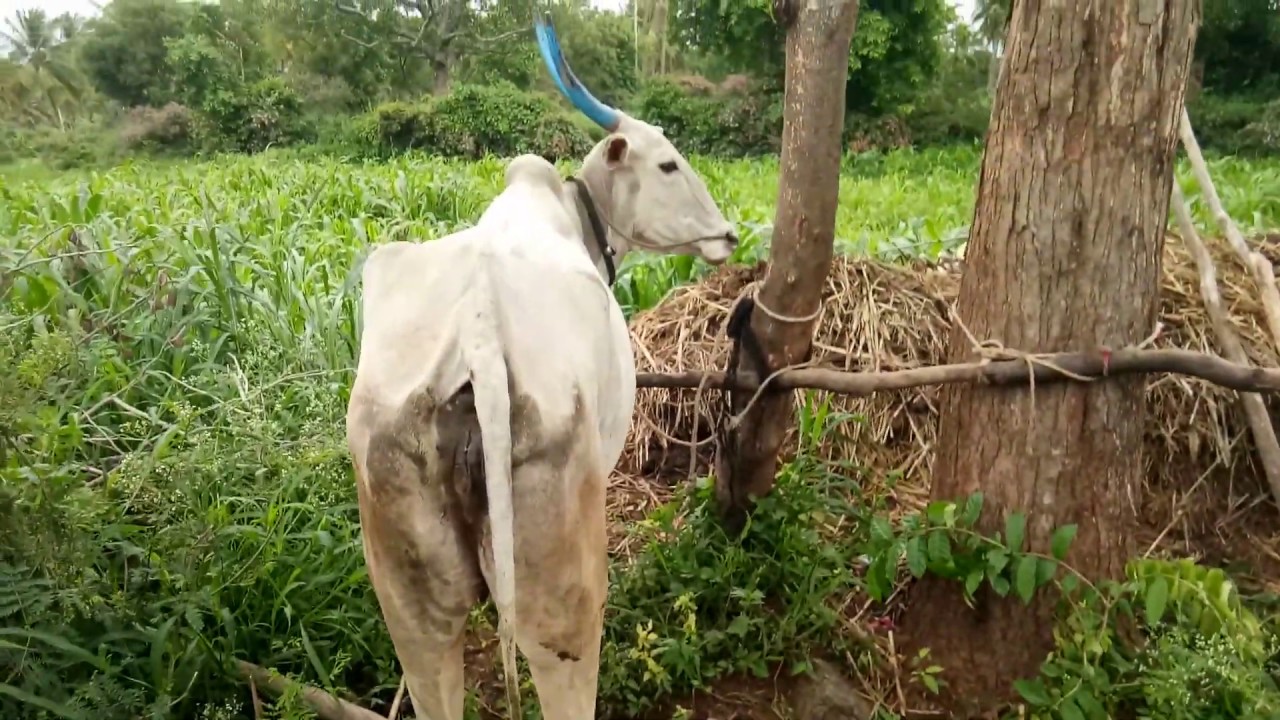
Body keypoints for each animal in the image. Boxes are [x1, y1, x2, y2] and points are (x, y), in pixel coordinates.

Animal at [344, 15, 738, 720]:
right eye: (667, 162)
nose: (728, 236)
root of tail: (479, 332)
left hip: (410, 595)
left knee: (429, 659)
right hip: (561, 587)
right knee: (563, 658)